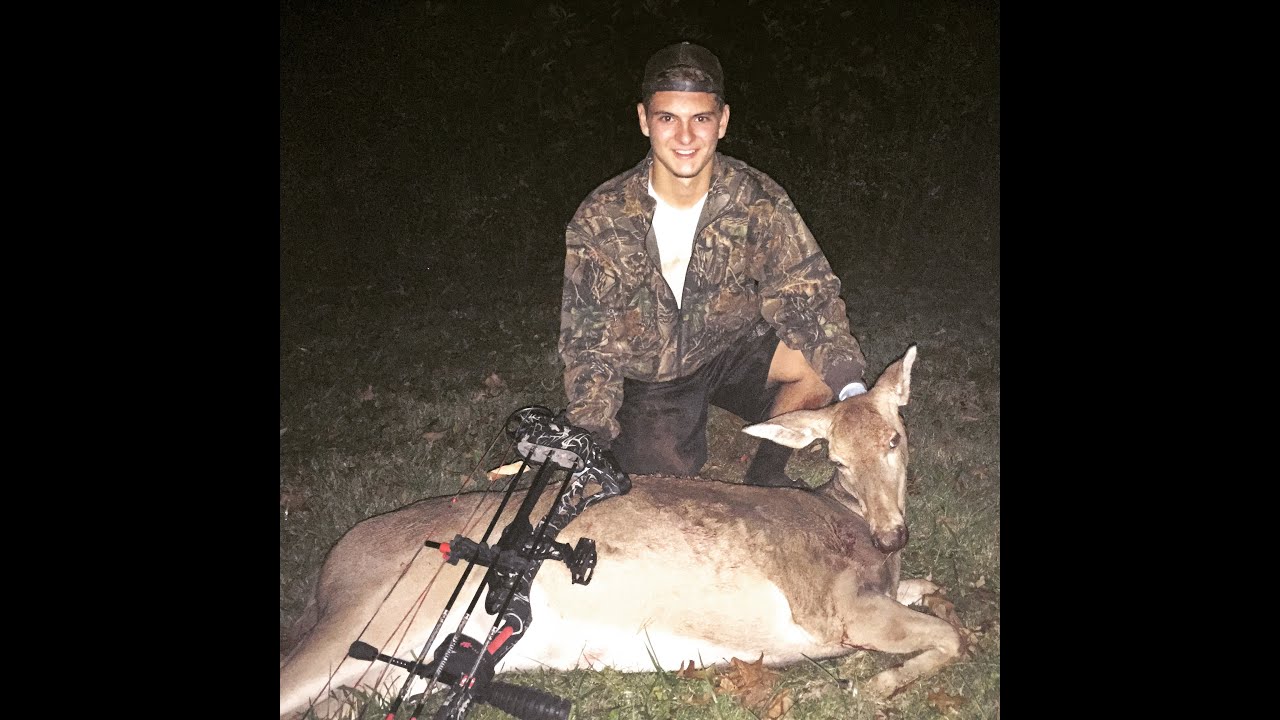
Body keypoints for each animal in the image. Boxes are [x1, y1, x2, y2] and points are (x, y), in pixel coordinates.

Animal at [280, 345, 962, 719]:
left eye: (895, 438)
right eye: (837, 460)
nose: (892, 535)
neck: (853, 526)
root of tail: (328, 569)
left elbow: (935, 596)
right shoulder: (836, 608)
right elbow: (949, 638)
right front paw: (879, 683)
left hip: (384, 666)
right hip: (361, 614)